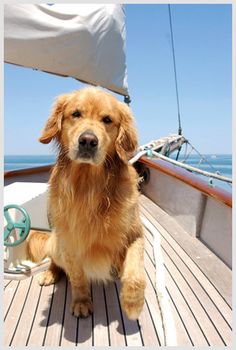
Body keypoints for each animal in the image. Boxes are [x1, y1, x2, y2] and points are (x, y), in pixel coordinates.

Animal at [27, 87, 146, 320]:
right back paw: (49, 274)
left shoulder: (135, 234)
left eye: (107, 120)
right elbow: (77, 277)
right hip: (56, 243)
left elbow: (136, 270)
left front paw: (133, 303)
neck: (89, 185)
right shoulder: (70, 242)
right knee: (56, 262)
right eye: (75, 114)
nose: (88, 140)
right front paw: (81, 301)